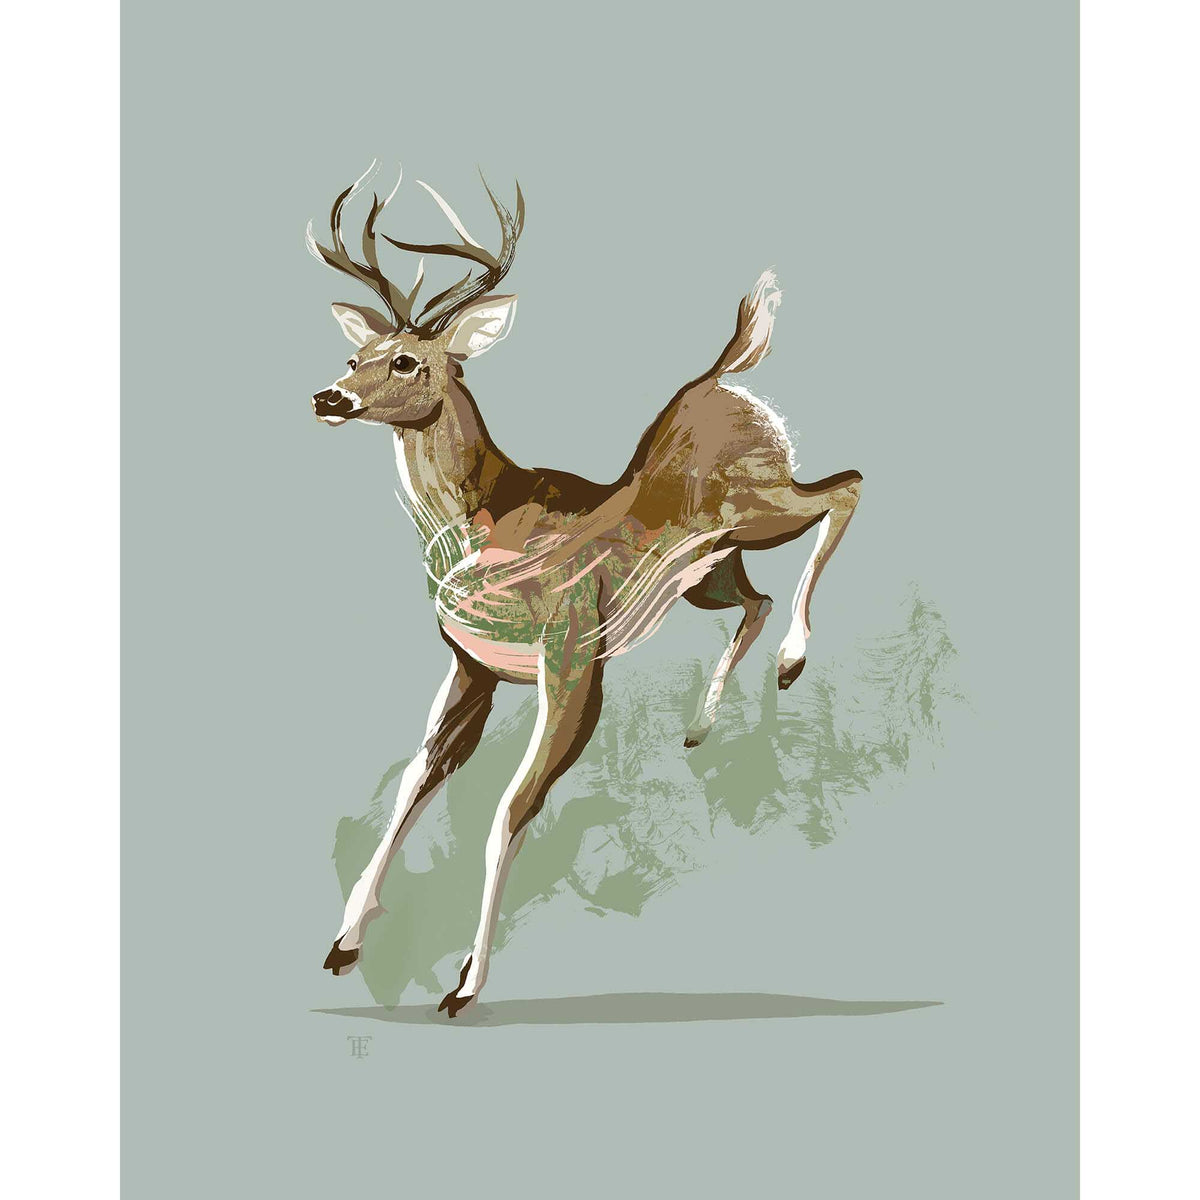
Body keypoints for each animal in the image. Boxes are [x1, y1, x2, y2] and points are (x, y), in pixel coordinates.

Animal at [307, 162, 863, 1017]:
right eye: (356, 354)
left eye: (407, 361)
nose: (328, 397)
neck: (484, 522)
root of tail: (726, 379)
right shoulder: (471, 666)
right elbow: (412, 781)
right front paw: (343, 943)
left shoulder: (570, 652)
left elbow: (511, 807)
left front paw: (464, 986)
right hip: (712, 570)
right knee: (759, 598)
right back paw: (700, 727)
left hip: (759, 504)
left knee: (846, 488)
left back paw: (794, 663)